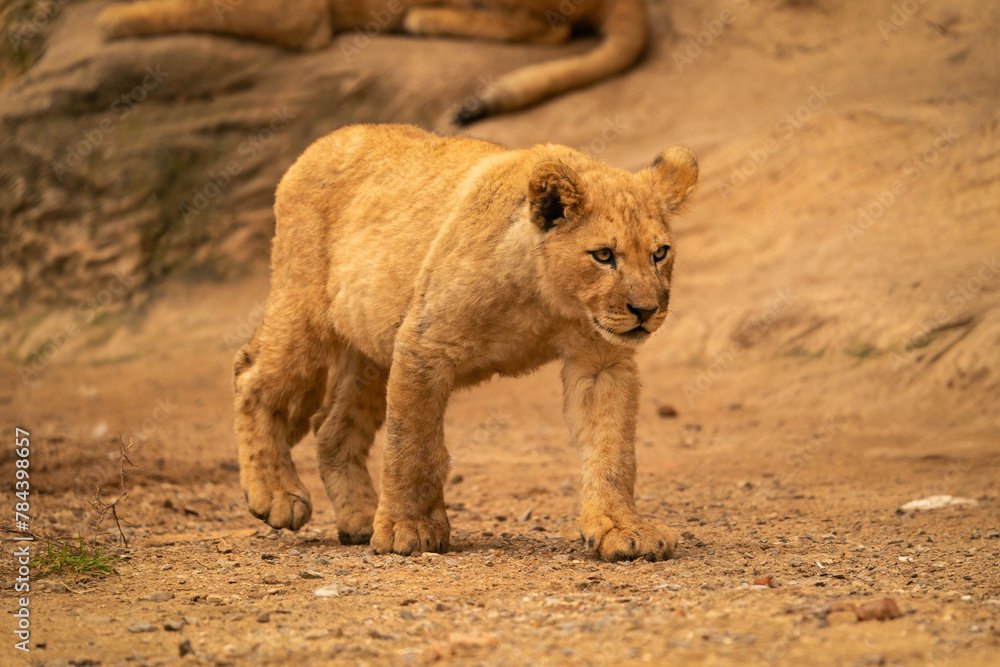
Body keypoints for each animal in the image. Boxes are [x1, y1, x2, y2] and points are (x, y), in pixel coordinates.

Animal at [233, 123, 698, 561]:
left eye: (659, 253)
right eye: (603, 255)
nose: (645, 310)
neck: (548, 302)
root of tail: (323, 143)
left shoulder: (601, 359)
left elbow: (612, 449)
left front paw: (621, 528)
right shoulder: (425, 340)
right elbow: (413, 445)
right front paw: (409, 528)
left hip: (371, 351)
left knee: (331, 427)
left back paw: (361, 518)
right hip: (304, 314)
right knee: (252, 376)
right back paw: (276, 494)